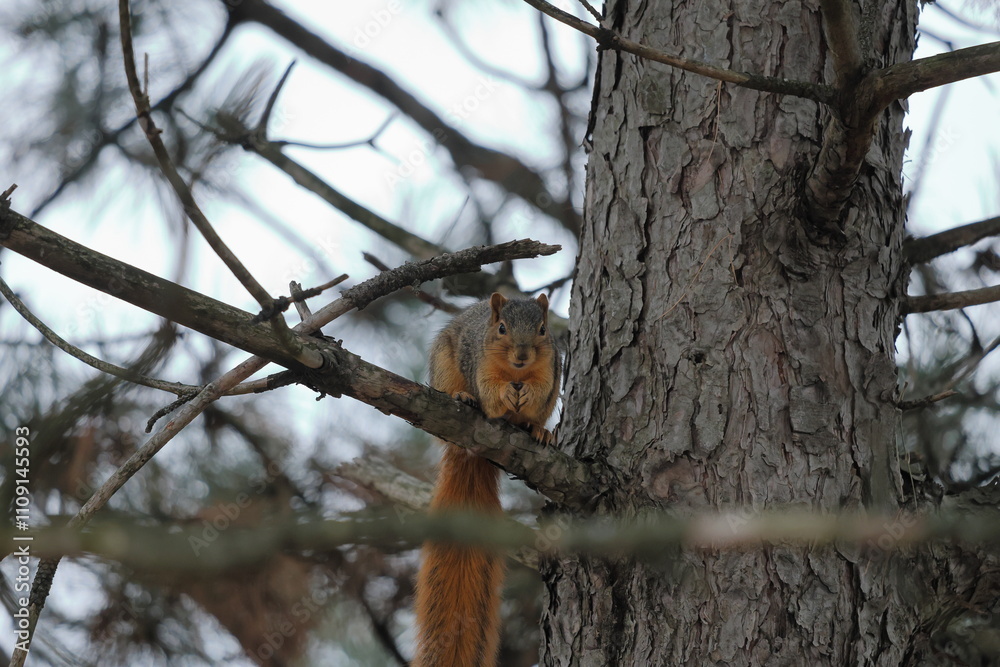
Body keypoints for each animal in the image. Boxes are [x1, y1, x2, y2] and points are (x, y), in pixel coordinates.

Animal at [413, 292, 561, 667]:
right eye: (501, 328)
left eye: (542, 329)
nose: (522, 355)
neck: (516, 373)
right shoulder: (482, 367)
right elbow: (492, 394)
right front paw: (504, 396)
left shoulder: (550, 371)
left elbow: (539, 390)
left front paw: (528, 404)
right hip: (445, 365)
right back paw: (463, 398)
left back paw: (537, 429)